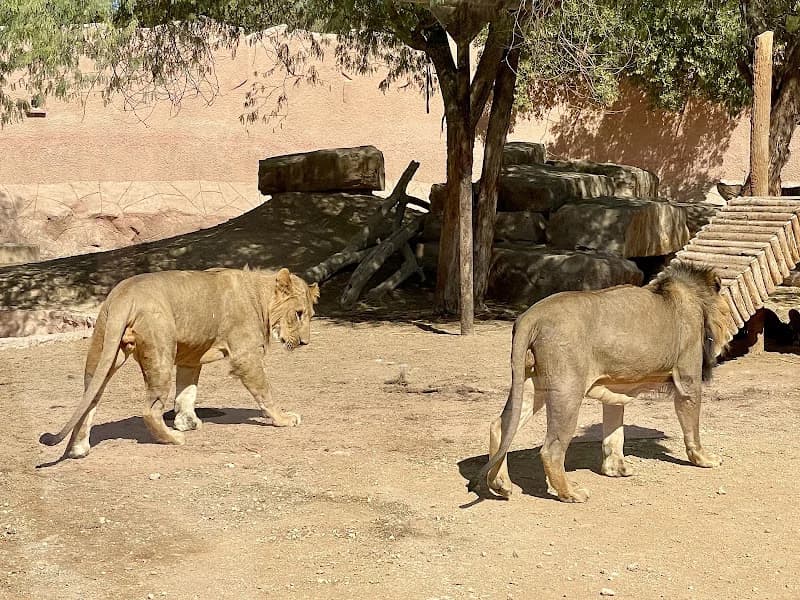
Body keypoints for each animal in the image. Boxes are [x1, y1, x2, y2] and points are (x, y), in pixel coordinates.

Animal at [40, 267, 319, 459]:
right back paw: (172, 439)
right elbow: (265, 392)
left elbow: (187, 392)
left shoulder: (191, 356)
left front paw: (187, 422)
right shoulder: (246, 355)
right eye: (298, 313)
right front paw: (283, 418)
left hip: (104, 351)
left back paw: (78, 449)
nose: (305, 342)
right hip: (160, 352)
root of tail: (123, 295)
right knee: (150, 409)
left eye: (310, 314)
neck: (260, 297)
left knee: (90, 398)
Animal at [468, 261, 730, 503]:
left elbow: (614, 432)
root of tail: (531, 315)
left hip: (533, 384)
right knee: (551, 449)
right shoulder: (688, 380)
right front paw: (704, 459)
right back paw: (570, 492)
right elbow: (692, 428)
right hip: (567, 391)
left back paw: (501, 484)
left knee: (501, 425)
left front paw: (616, 469)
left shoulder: (616, 386)